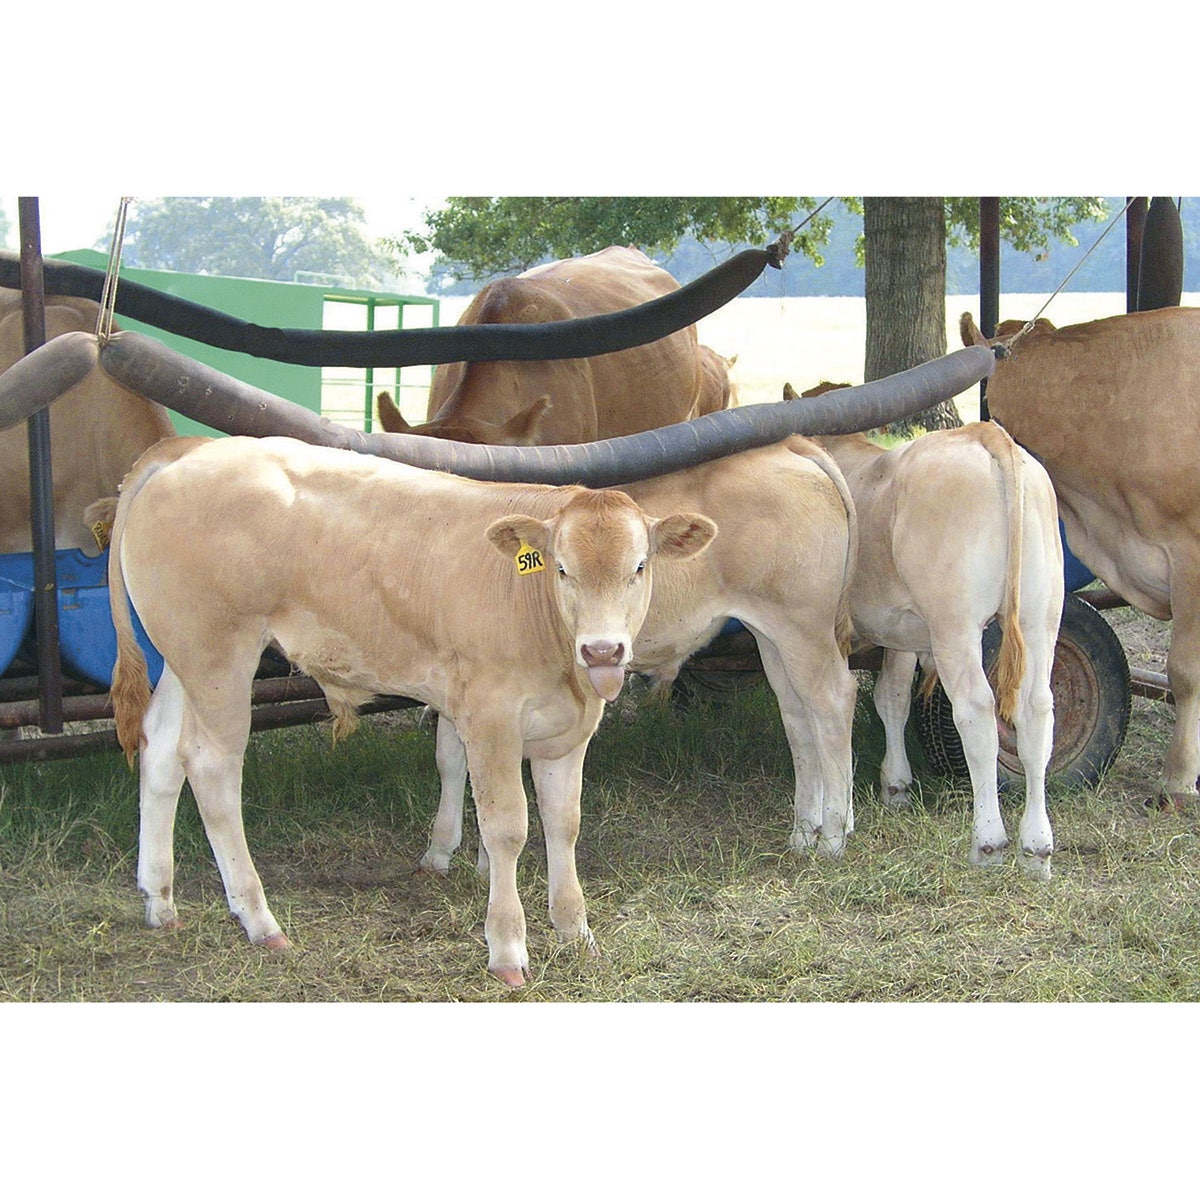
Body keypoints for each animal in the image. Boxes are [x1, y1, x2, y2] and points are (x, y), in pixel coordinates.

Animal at [106, 434, 715, 986]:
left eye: (640, 566)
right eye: (561, 569)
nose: (602, 651)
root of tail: (191, 449)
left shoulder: (569, 728)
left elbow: (564, 823)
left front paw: (575, 932)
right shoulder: (490, 716)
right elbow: (508, 828)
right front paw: (507, 949)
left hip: (181, 659)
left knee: (161, 749)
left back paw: (160, 900)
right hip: (219, 655)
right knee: (211, 767)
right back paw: (258, 918)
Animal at [421, 435, 860, 880]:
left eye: (639, 566)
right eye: (561, 568)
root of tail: (788, 445)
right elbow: (450, 758)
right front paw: (442, 851)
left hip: (805, 627)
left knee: (833, 704)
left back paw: (833, 835)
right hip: (773, 637)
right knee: (798, 717)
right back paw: (804, 830)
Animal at [785, 382, 1064, 878]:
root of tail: (985, 434)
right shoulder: (901, 630)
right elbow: (892, 698)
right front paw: (895, 784)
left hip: (955, 625)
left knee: (976, 710)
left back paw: (988, 842)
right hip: (1040, 614)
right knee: (1037, 710)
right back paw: (1037, 847)